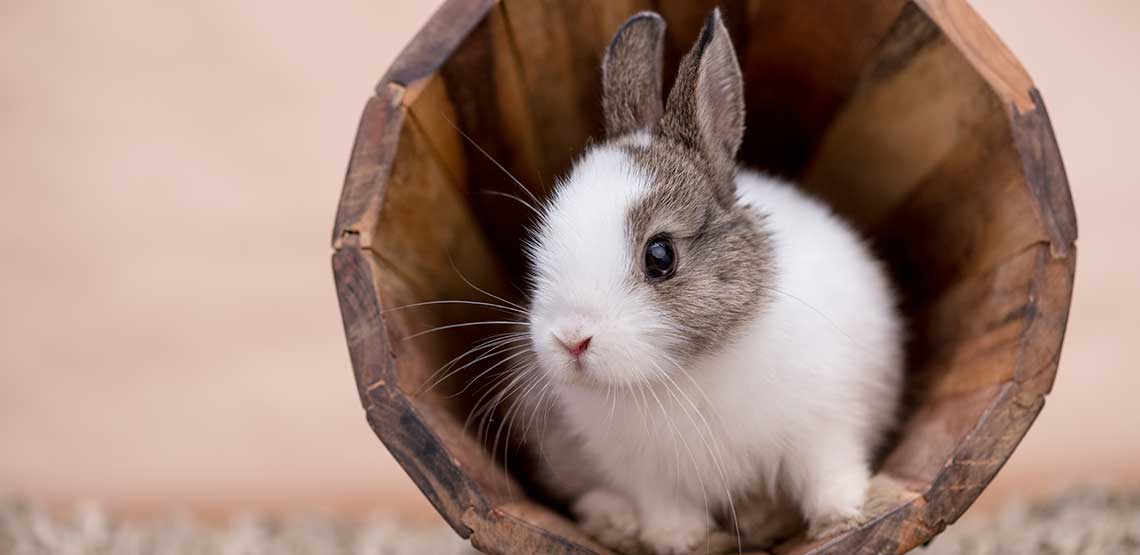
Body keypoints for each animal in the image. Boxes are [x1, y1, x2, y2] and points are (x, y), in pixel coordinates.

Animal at [514, 8, 904, 555]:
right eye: (543, 239)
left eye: (660, 256)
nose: (571, 340)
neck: (679, 374)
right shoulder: (645, 474)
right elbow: (665, 507)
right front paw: (678, 540)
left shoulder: (826, 424)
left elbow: (827, 469)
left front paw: (841, 514)